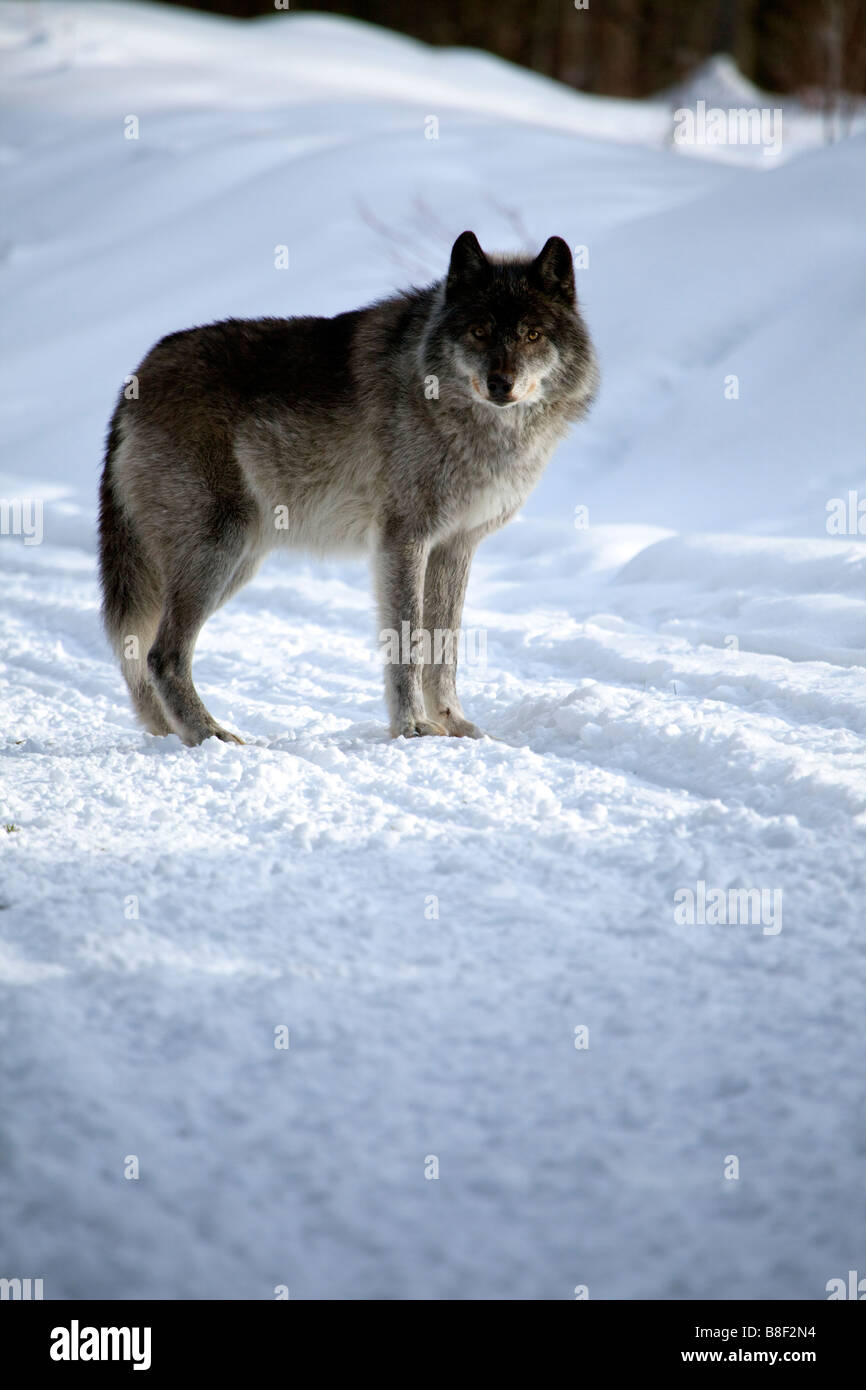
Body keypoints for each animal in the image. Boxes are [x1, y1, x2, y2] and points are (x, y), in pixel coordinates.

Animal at [98, 230, 598, 744]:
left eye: (532, 335)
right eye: (479, 331)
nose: (502, 383)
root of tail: (135, 379)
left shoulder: (455, 546)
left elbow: (444, 650)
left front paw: (454, 724)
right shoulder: (404, 538)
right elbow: (407, 643)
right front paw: (413, 727)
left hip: (237, 562)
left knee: (145, 654)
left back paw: (174, 733)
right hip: (216, 551)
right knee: (163, 655)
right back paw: (209, 734)